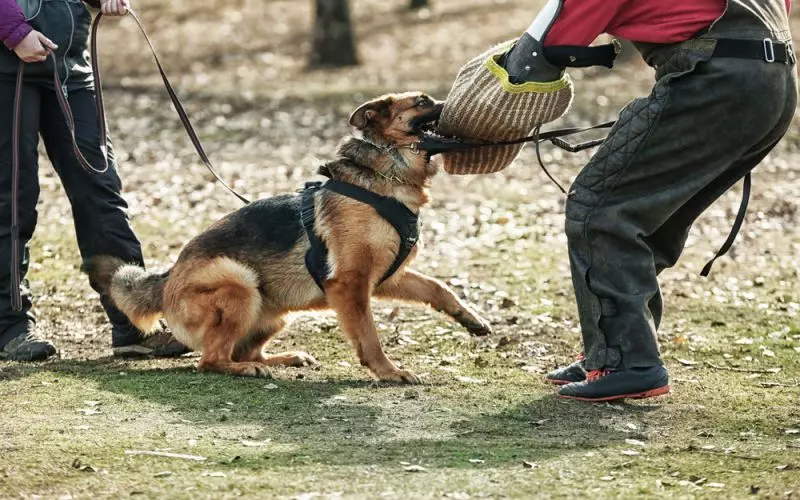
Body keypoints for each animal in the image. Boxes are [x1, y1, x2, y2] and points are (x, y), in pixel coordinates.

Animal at [84, 93, 490, 382]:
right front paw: (389, 372)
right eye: (422, 102)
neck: (386, 175)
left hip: (276, 313)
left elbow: (438, 287)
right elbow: (370, 336)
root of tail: (167, 278)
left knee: (243, 350)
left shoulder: (386, 277)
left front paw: (471, 318)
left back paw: (285, 359)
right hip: (239, 282)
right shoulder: (351, 283)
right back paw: (247, 370)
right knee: (212, 360)